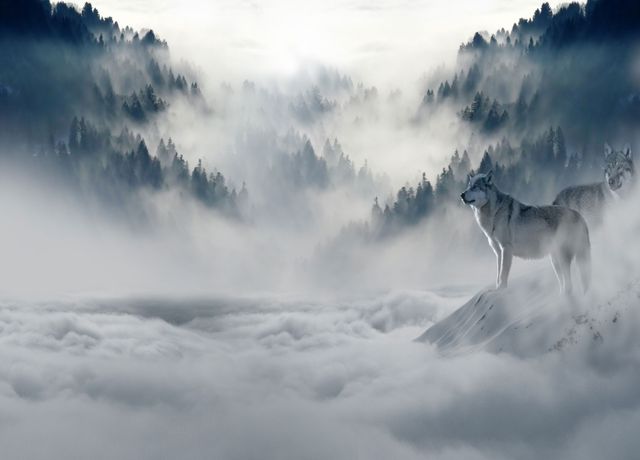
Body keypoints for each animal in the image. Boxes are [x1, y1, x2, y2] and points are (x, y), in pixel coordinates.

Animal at [461, 171, 591, 293]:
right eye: (468, 186)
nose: (461, 195)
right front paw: (496, 288)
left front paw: (501, 289)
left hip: (562, 258)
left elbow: (503, 274)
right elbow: (498, 274)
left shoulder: (506, 249)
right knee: (566, 284)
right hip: (555, 260)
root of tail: (579, 215)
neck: (494, 213)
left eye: (475, 187)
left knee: (570, 285)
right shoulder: (498, 252)